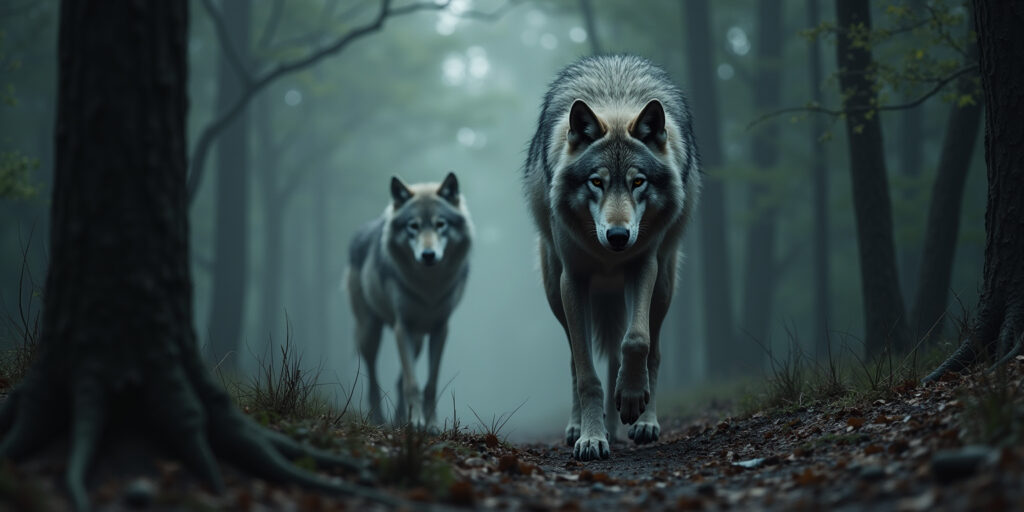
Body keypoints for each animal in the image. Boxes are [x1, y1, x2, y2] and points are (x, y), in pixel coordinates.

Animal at [346, 172, 472, 427]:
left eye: (440, 224)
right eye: (413, 226)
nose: (428, 255)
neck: (429, 287)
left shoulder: (440, 329)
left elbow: (429, 383)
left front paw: (430, 424)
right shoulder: (401, 326)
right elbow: (412, 382)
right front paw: (416, 422)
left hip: (417, 341)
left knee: (398, 380)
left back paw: (399, 420)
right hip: (370, 332)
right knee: (373, 378)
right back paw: (379, 419)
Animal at [523, 55, 701, 460]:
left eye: (638, 182)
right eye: (596, 181)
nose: (618, 237)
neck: (615, 99)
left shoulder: (643, 266)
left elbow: (636, 342)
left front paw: (632, 400)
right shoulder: (573, 279)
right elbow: (587, 374)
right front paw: (591, 438)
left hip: (663, 286)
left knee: (649, 351)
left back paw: (639, 422)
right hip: (556, 292)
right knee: (576, 362)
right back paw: (583, 428)